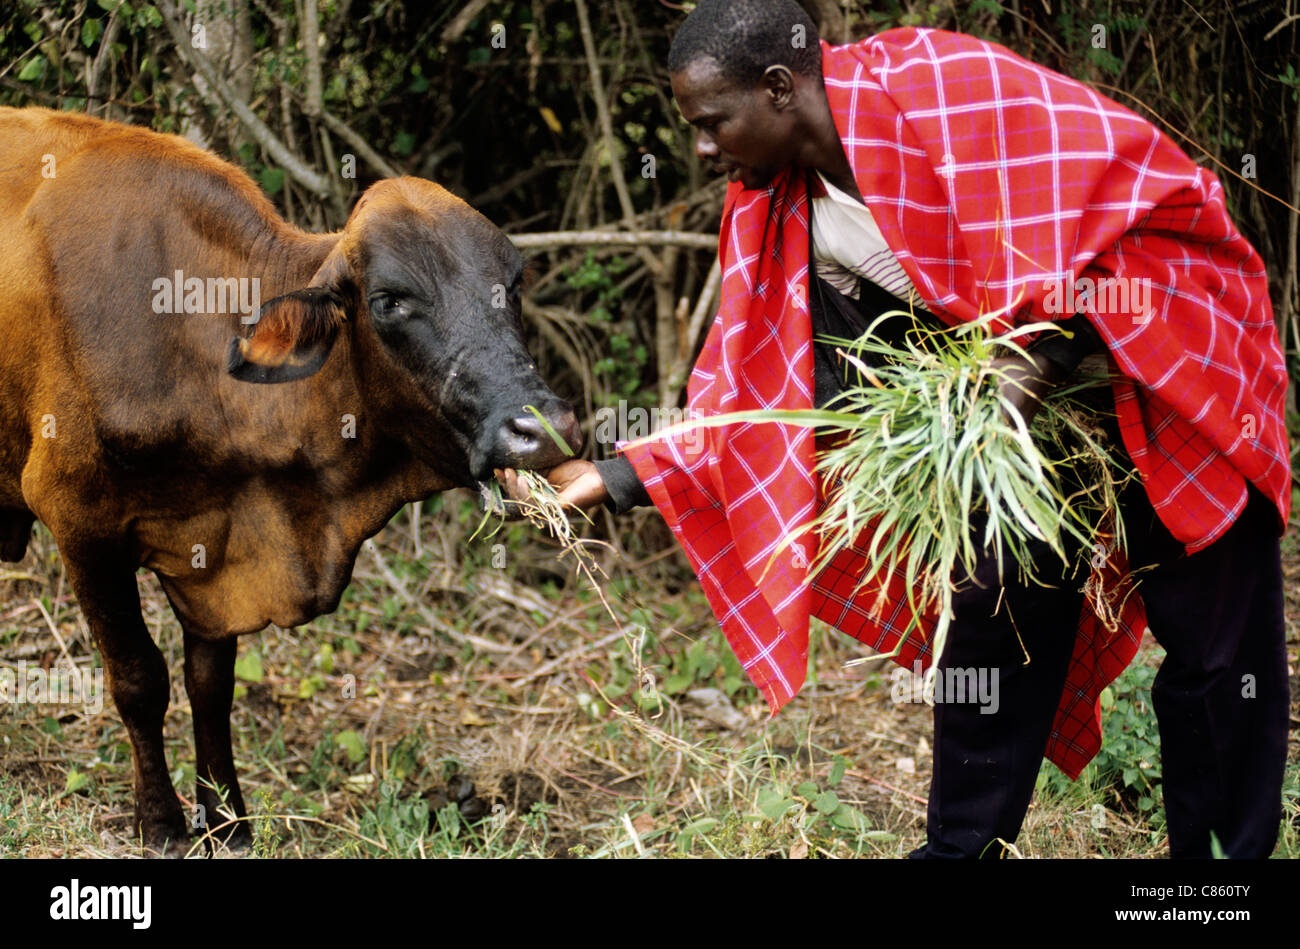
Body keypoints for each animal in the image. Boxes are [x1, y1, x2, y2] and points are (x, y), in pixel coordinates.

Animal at [0, 106, 581, 854]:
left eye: (514, 284)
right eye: (389, 301)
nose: (542, 427)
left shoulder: (214, 552)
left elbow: (209, 686)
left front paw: (228, 820)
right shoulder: (79, 521)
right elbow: (138, 680)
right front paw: (161, 822)